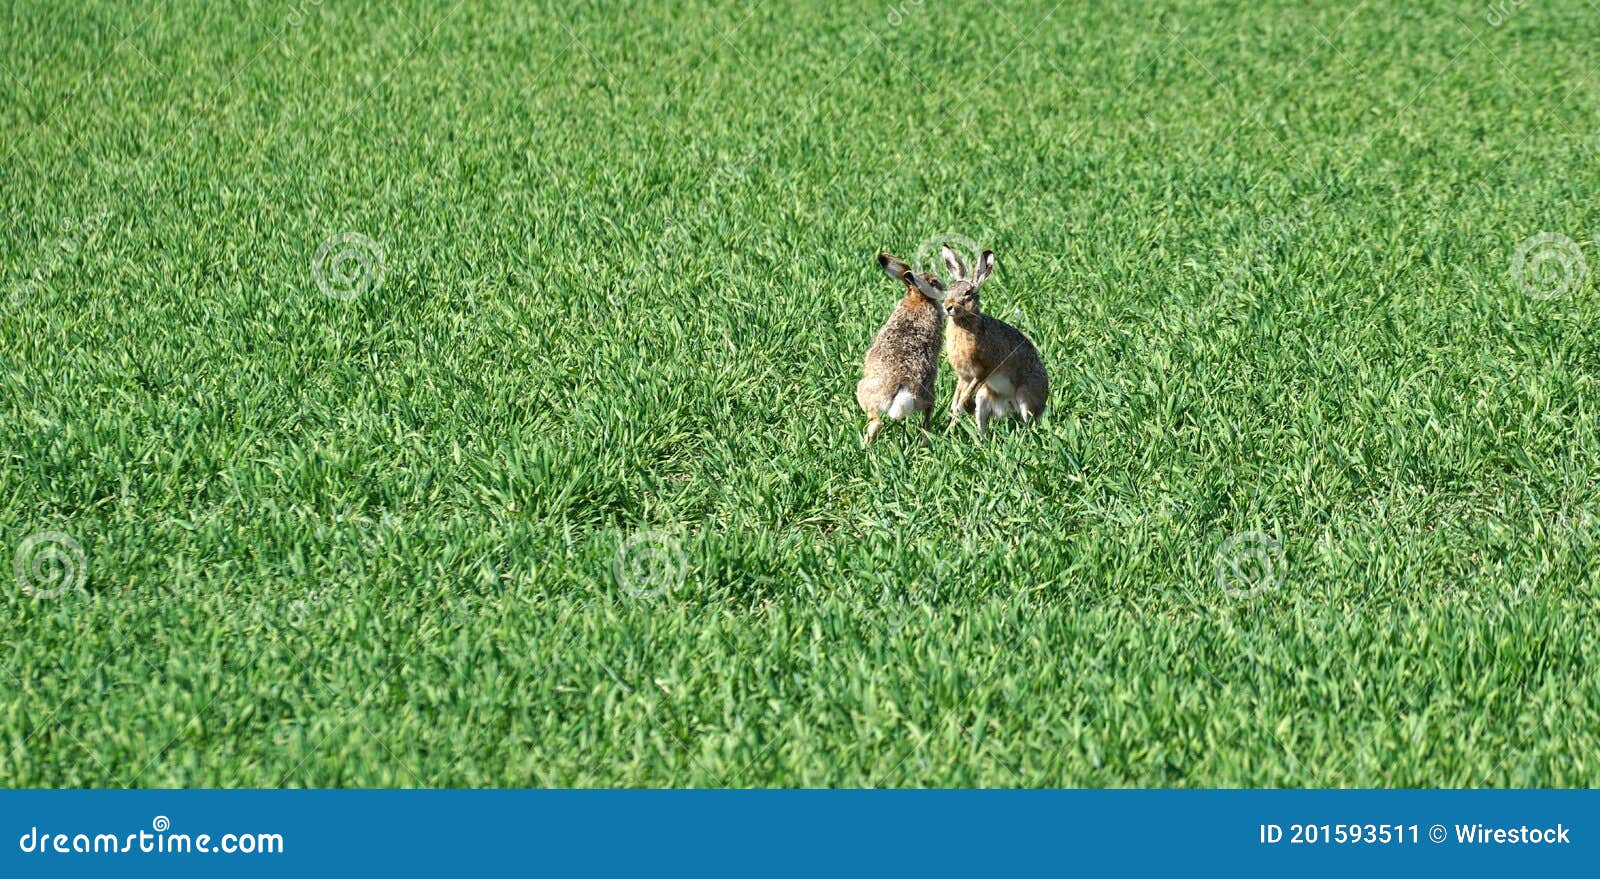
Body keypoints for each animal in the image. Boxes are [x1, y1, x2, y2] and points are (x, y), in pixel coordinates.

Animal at [856, 253, 946, 445]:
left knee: (877, 422)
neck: (918, 298)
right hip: (927, 394)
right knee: (927, 414)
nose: (943, 286)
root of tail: (902, 385)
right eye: (933, 282)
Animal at [911, 245, 1047, 431]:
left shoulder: (984, 370)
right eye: (949, 290)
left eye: (968, 293)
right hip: (984, 397)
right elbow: (956, 402)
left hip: (1025, 396)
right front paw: (950, 426)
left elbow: (964, 397)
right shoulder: (964, 376)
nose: (948, 307)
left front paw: (965, 408)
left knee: (1028, 420)